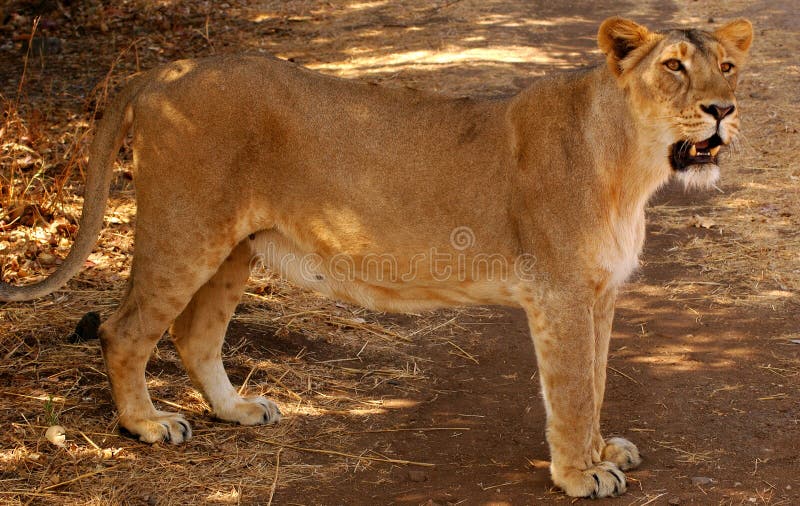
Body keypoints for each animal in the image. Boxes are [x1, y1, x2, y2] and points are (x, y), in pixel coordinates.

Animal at [0, 17, 752, 498]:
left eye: (728, 66)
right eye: (673, 67)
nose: (722, 109)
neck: (632, 161)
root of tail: (164, 70)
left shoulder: (599, 292)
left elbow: (592, 385)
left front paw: (599, 451)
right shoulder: (561, 292)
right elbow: (570, 391)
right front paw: (579, 475)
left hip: (233, 247)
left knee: (193, 334)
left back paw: (237, 410)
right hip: (184, 230)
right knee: (124, 330)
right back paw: (147, 426)